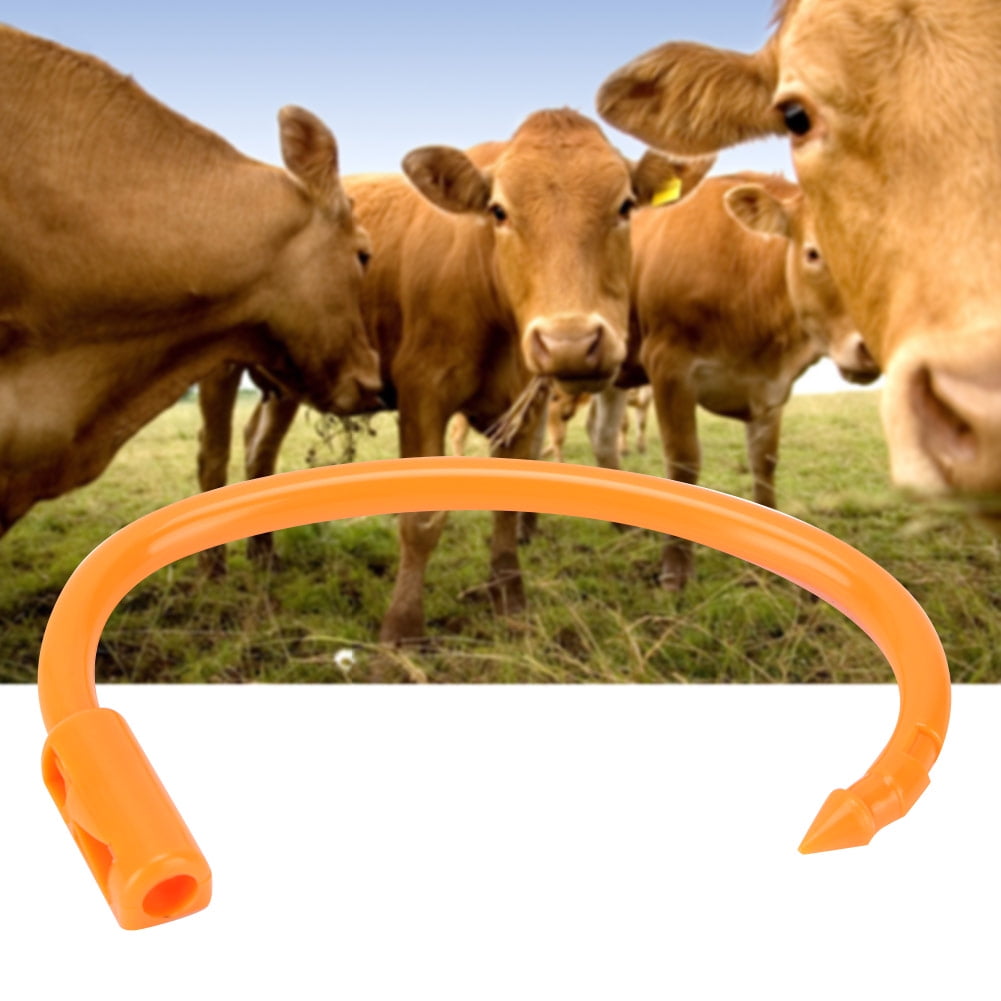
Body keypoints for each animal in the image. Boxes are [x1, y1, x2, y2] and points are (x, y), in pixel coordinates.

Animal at [198, 109, 713, 644]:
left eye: (626, 205)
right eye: (499, 211)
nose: (569, 342)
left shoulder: (526, 406)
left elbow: (508, 506)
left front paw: (510, 601)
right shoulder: (423, 392)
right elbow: (422, 519)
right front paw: (402, 627)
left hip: (286, 381)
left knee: (259, 451)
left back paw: (264, 556)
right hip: (217, 365)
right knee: (213, 458)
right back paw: (214, 571)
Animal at [597, 0, 1001, 502]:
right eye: (813, 254)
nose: (870, 348)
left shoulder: (771, 394)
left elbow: (764, 468)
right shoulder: (668, 369)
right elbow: (684, 466)